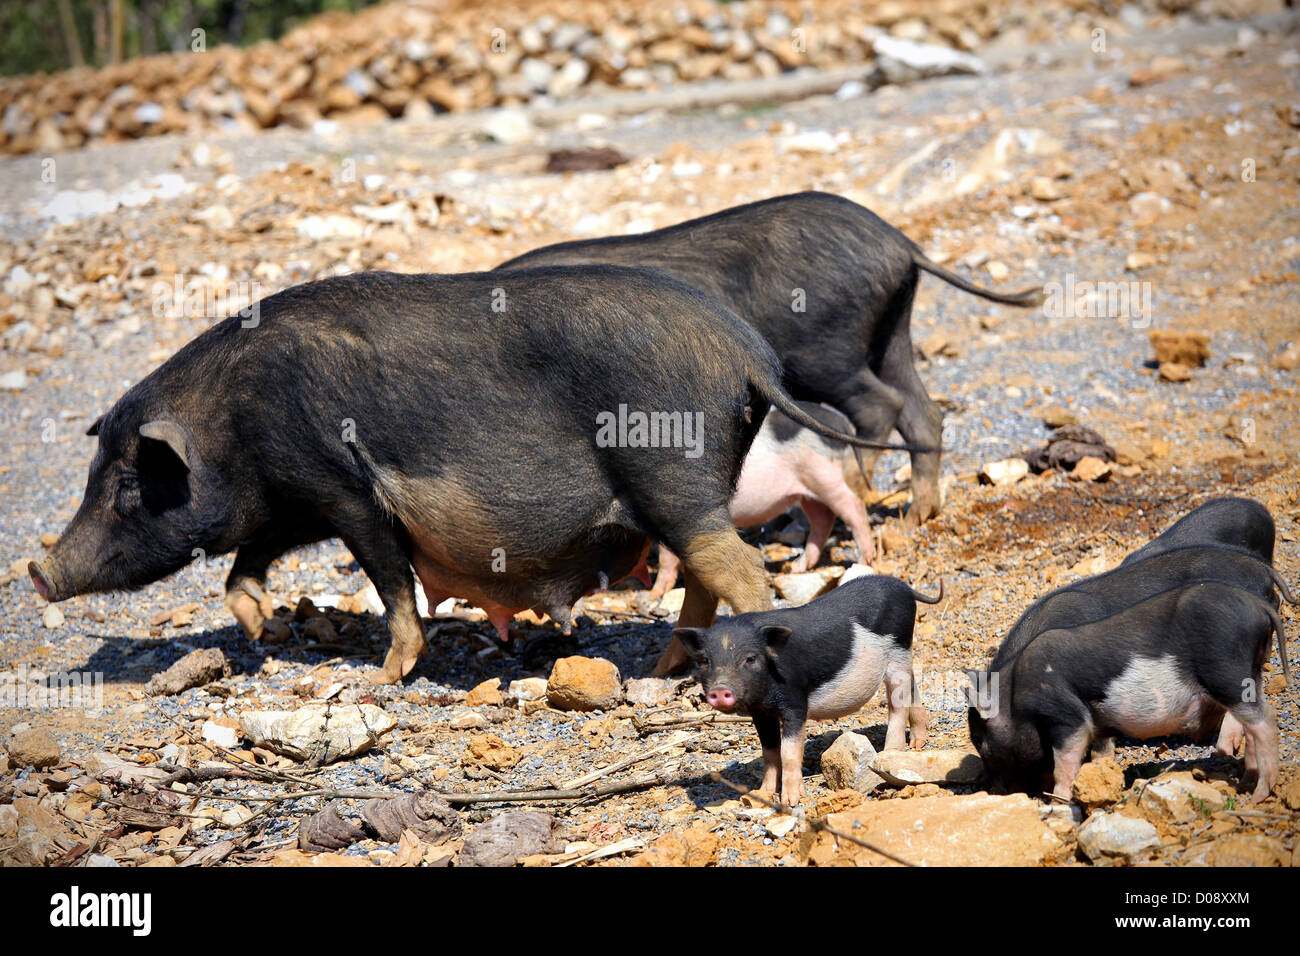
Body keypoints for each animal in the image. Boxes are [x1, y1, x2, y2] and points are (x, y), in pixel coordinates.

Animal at [497, 191, 1043, 527]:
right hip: (892, 329)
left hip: (825, 349)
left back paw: (863, 490)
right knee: (922, 412)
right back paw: (915, 518)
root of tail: (903, 245)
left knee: (880, 406)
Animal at [649, 401, 875, 599]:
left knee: (853, 505)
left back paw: (865, 560)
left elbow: (665, 558)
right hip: (808, 490)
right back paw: (796, 567)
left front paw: (654, 594)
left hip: (823, 475)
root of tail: (841, 422)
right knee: (822, 519)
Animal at [674, 574, 942, 805]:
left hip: (898, 650)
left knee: (898, 702)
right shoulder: (761, 712)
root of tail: (905, 588)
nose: (720, 689)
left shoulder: (795, 700)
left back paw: (890, 752)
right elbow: (769, 752)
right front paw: (762, 793)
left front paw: (791, 801)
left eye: (750, 658)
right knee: (913, 686)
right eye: (705, 660)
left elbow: (789, 752)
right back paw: (917, 743)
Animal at [967, 582, 1291, 804]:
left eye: (980, 742)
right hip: (1250, 673)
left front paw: (1058, 801)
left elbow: (1065, 763)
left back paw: (1258, 795)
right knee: (1251, 723)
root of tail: (1258, 605)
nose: (994, 791)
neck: (1014, 696)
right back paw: (1247, 782)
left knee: (1265, 720)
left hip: (1226, 672)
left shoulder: (1064, 713)